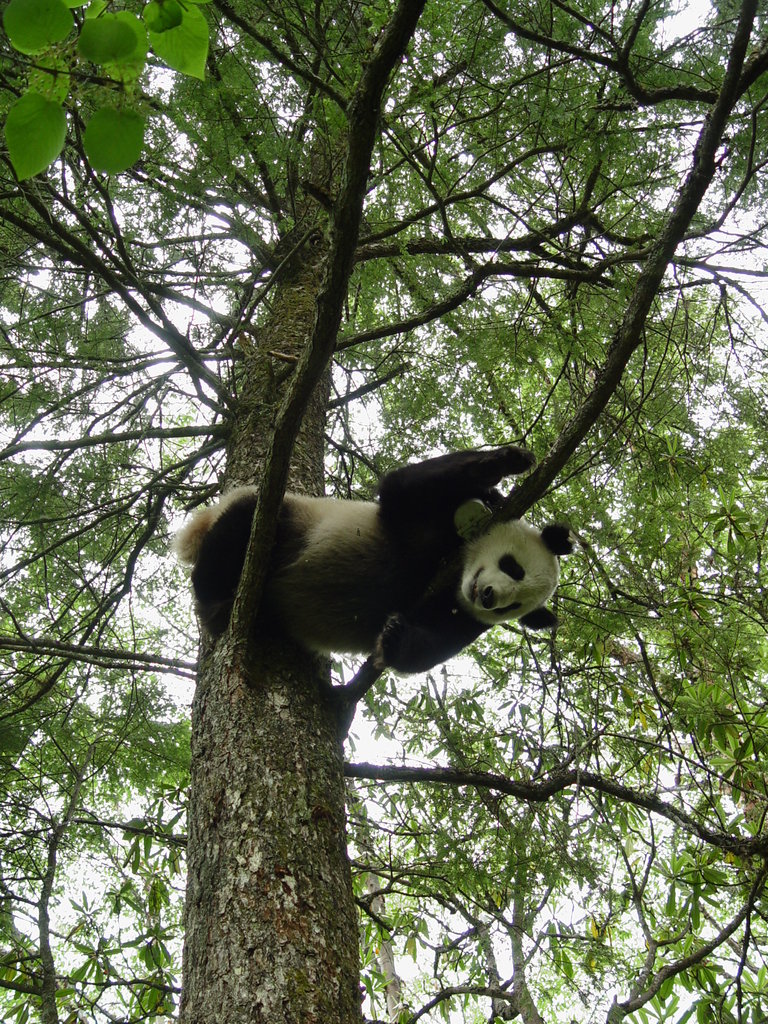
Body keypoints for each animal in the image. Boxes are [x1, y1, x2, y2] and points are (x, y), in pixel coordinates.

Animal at [173, 446, 573, 674]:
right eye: (512, 566)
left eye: (513, 605)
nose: (488, 596)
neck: (452, 568)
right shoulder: (427, 518)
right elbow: (406, 485)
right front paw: (509, 459)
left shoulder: (462, 615)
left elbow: (425, 650)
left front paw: (394, 638)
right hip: (287, 520)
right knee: (244, 522)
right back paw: (216, 602)